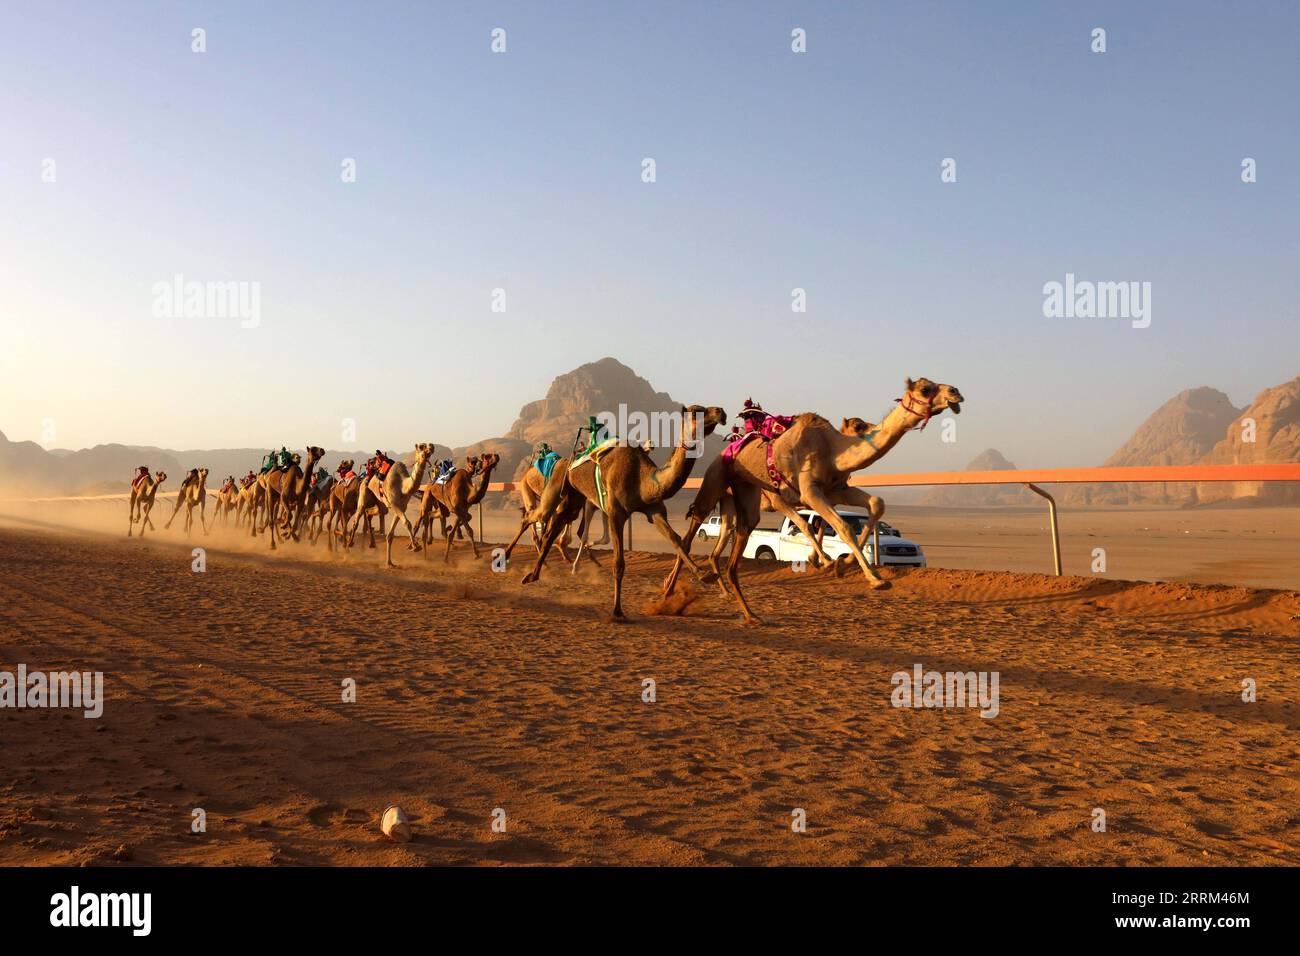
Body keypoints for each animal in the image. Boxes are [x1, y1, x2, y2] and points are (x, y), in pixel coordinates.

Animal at [519, 405, 726, 619]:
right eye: (696, 412)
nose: (720, 412)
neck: (643, 478)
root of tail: (566, 460)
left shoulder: (655, 510)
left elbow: (676, 540)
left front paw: (704, 574)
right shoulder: (616, 514)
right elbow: (618, 563)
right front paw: (617, 611)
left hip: (572, 499)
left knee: (552, 531)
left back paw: (533, 575)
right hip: (556, 485)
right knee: (534, 517)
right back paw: (527, 568)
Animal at [666, 378, 963, 624]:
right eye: (925, 388)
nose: (955, 392)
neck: (831, 448)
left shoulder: (834, 490)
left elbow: (873, 504)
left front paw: (840, 564)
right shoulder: (799, 494)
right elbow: (834, 526)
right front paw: (870, 577)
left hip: (736, 499)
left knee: (724, 539)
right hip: (716, 481)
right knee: (692, 530)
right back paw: (670, 590)